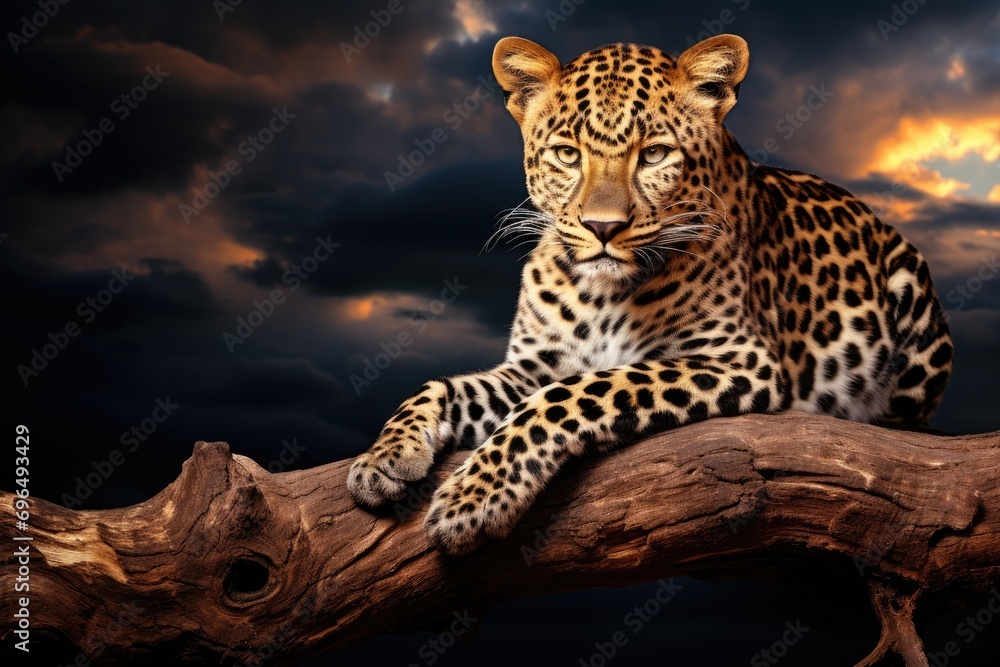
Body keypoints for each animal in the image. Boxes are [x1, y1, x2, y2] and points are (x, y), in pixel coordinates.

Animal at [347, 33, 953, 555]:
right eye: (568, 154)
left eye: (656, 154)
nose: (603, 227)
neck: (598, 294)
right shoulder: (532, 364)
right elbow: (441, 385)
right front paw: (384, 458)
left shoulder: (738, 360)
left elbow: (572, 394)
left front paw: (474, 498)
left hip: (911, 296)